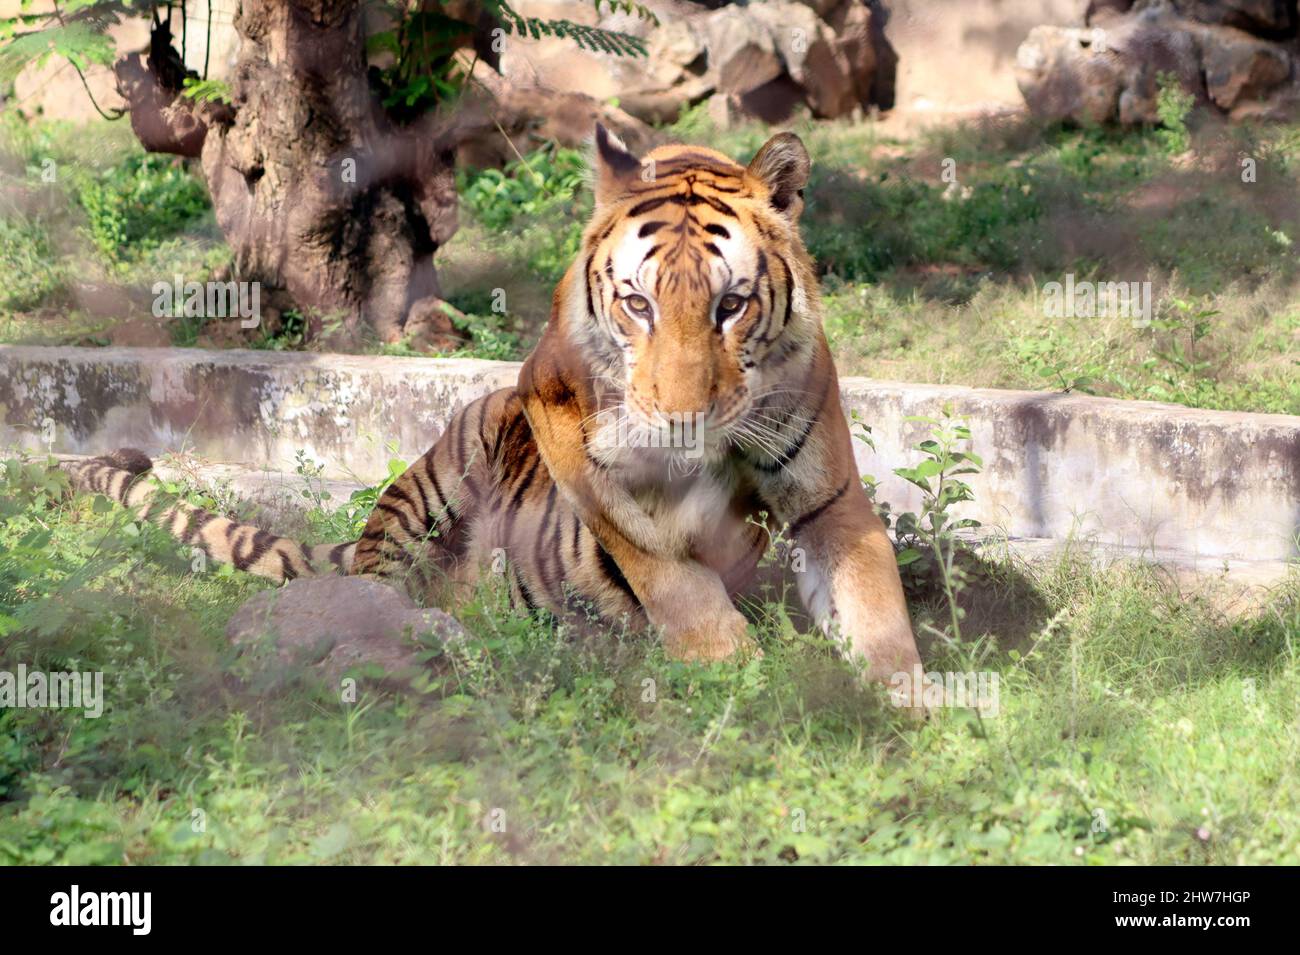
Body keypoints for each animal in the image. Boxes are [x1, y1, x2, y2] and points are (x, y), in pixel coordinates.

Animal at [68, 126, 923, 683]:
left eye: (732, 305)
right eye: (638, 304)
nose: (683, 419)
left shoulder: (827, 494)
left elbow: (873, 595)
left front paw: (910, 702)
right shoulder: (556, 411)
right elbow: (663, 565)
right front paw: (732, 668)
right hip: (441, 469)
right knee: (379, 584)